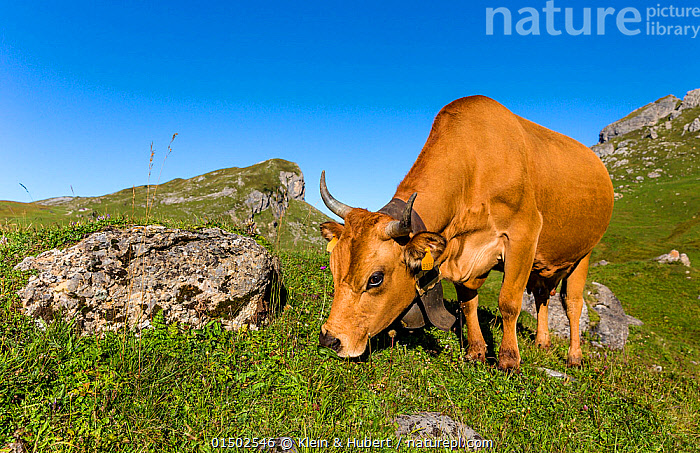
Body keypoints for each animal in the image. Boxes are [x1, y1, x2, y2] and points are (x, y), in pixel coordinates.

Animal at [318, 96, 614, 370]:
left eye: (375, 279)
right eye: (333, 267)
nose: (330, 340)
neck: (475, 167)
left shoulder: (523, 236)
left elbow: (509, 302)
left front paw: (509, 360)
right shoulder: (462, 252)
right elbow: (467, 303)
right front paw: (476, 352)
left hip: (583, 253)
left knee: (573, 304)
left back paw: (574, 357)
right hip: (544, 266)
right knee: (543, 296)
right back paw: (543, 342)